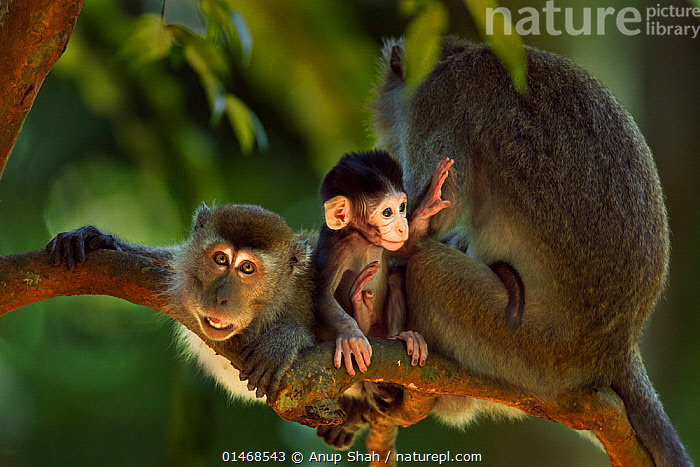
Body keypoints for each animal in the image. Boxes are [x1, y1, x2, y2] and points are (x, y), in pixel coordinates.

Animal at [313, 150, 452, 449]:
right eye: (387, 213)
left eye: (402, 207)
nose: (401, 227)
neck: (362, 238)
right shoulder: (335, 246)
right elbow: (321, 295)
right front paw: (352, 336)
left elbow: (408, 250)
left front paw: (428, 205)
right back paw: (360, 313)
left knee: (396, 278)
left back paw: (401, 335)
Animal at [369, 37, 693, 466]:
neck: (455, 57)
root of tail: (617, 349)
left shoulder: (437, 106)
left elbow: (418, 230)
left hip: (530, 346)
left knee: (426, 268)